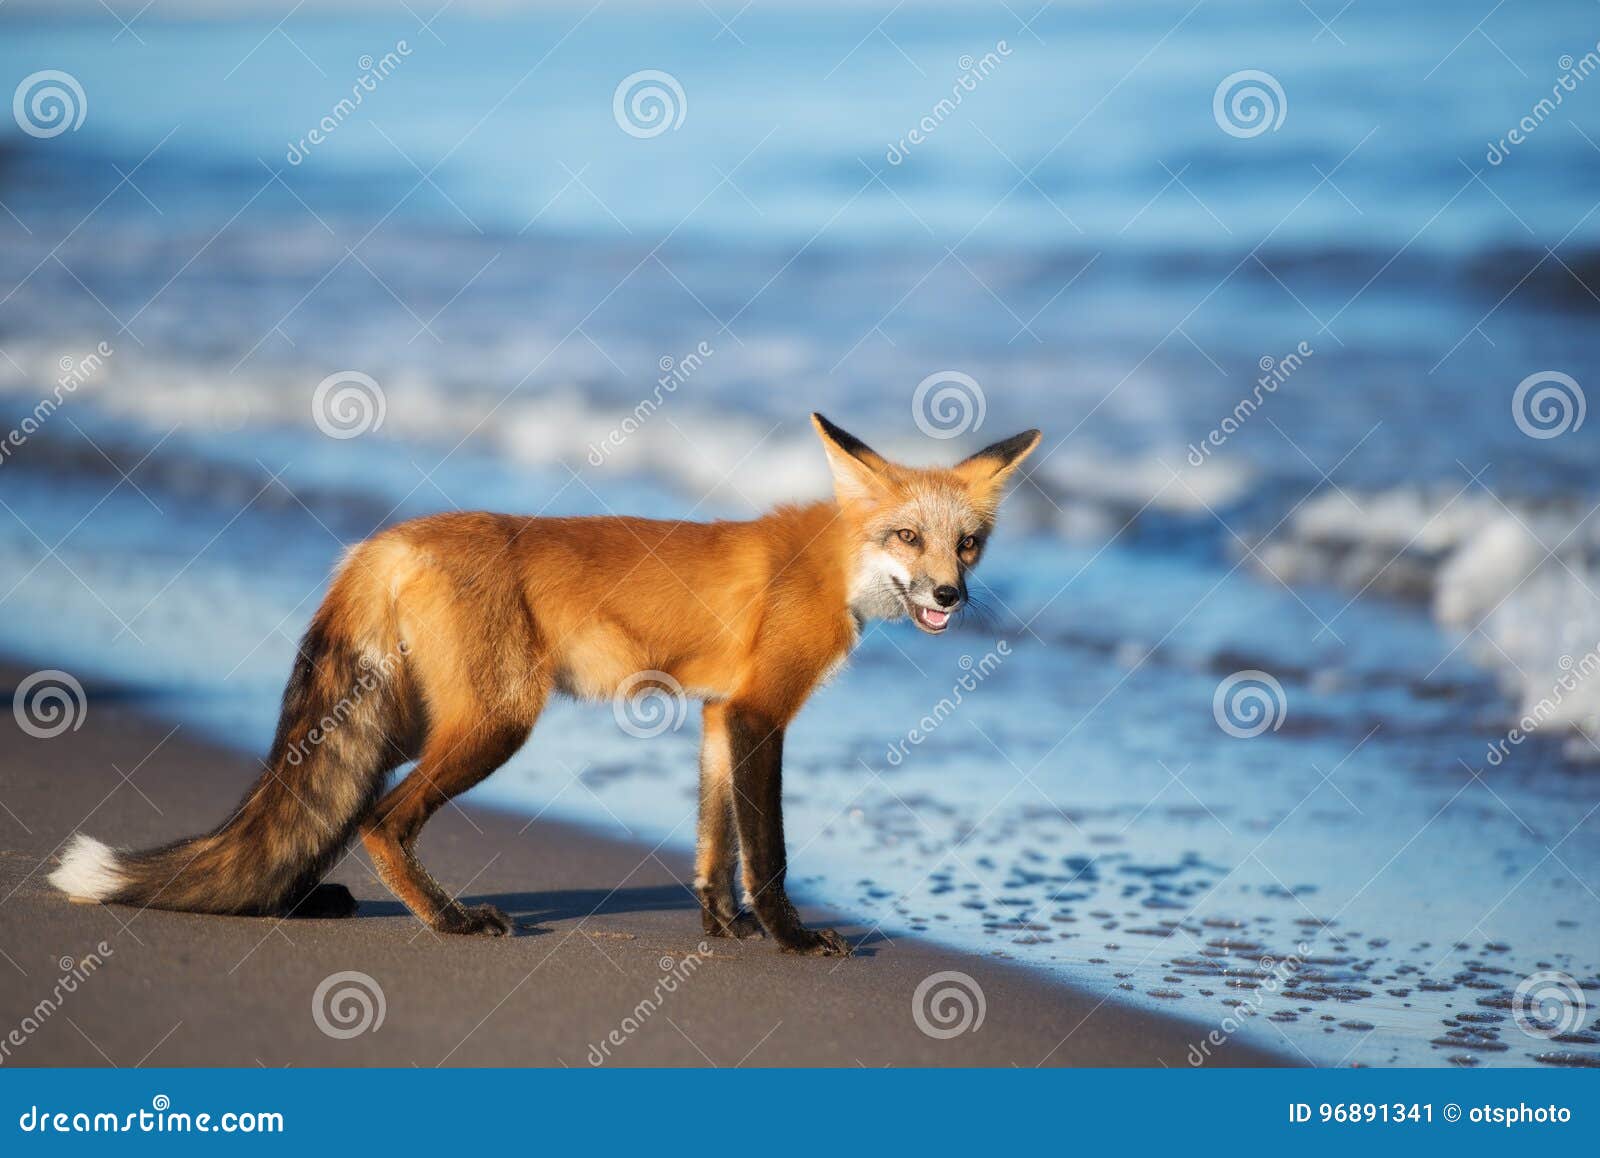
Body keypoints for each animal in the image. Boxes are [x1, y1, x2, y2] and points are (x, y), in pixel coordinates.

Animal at [49, 414, 1040, 955]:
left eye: (968, 543)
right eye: (907, 537)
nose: (951, 595)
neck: (830, 566)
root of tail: (385, 541)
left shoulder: (721, 713)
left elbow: (713, 844)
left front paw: (722, 930)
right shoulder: (763, 711)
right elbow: (770, 852)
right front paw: (791, 939)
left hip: (400, 723)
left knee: (320, 810)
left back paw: (293, 902)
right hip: (494, 721)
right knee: (376, 819)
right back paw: (447, 921)